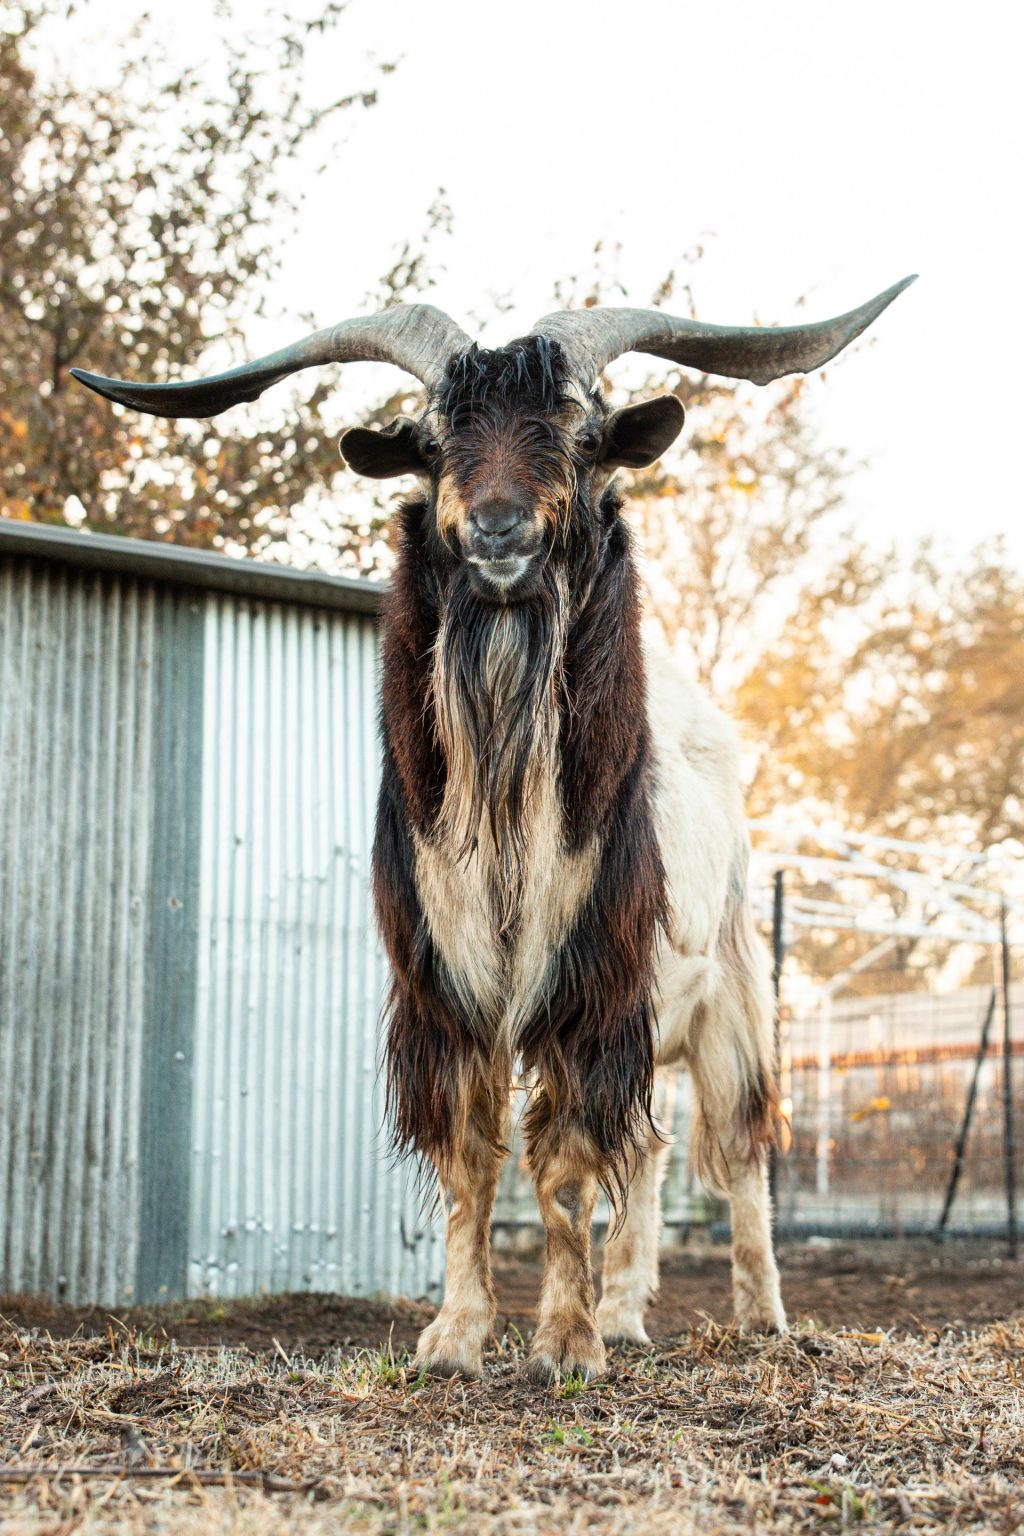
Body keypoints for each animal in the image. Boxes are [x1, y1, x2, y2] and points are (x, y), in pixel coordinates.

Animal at [73, 273, 915, 1383]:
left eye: (580, 433)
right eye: (435, 440)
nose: (499, 530)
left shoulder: (591, 981)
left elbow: (563, 1164)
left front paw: (563, 1345)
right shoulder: (443, 984)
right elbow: (474, 1162)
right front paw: (457, 1338)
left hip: (731, 982)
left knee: (737, 1148)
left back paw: (758, 1317)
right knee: (650, 1148)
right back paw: (629, 1312)